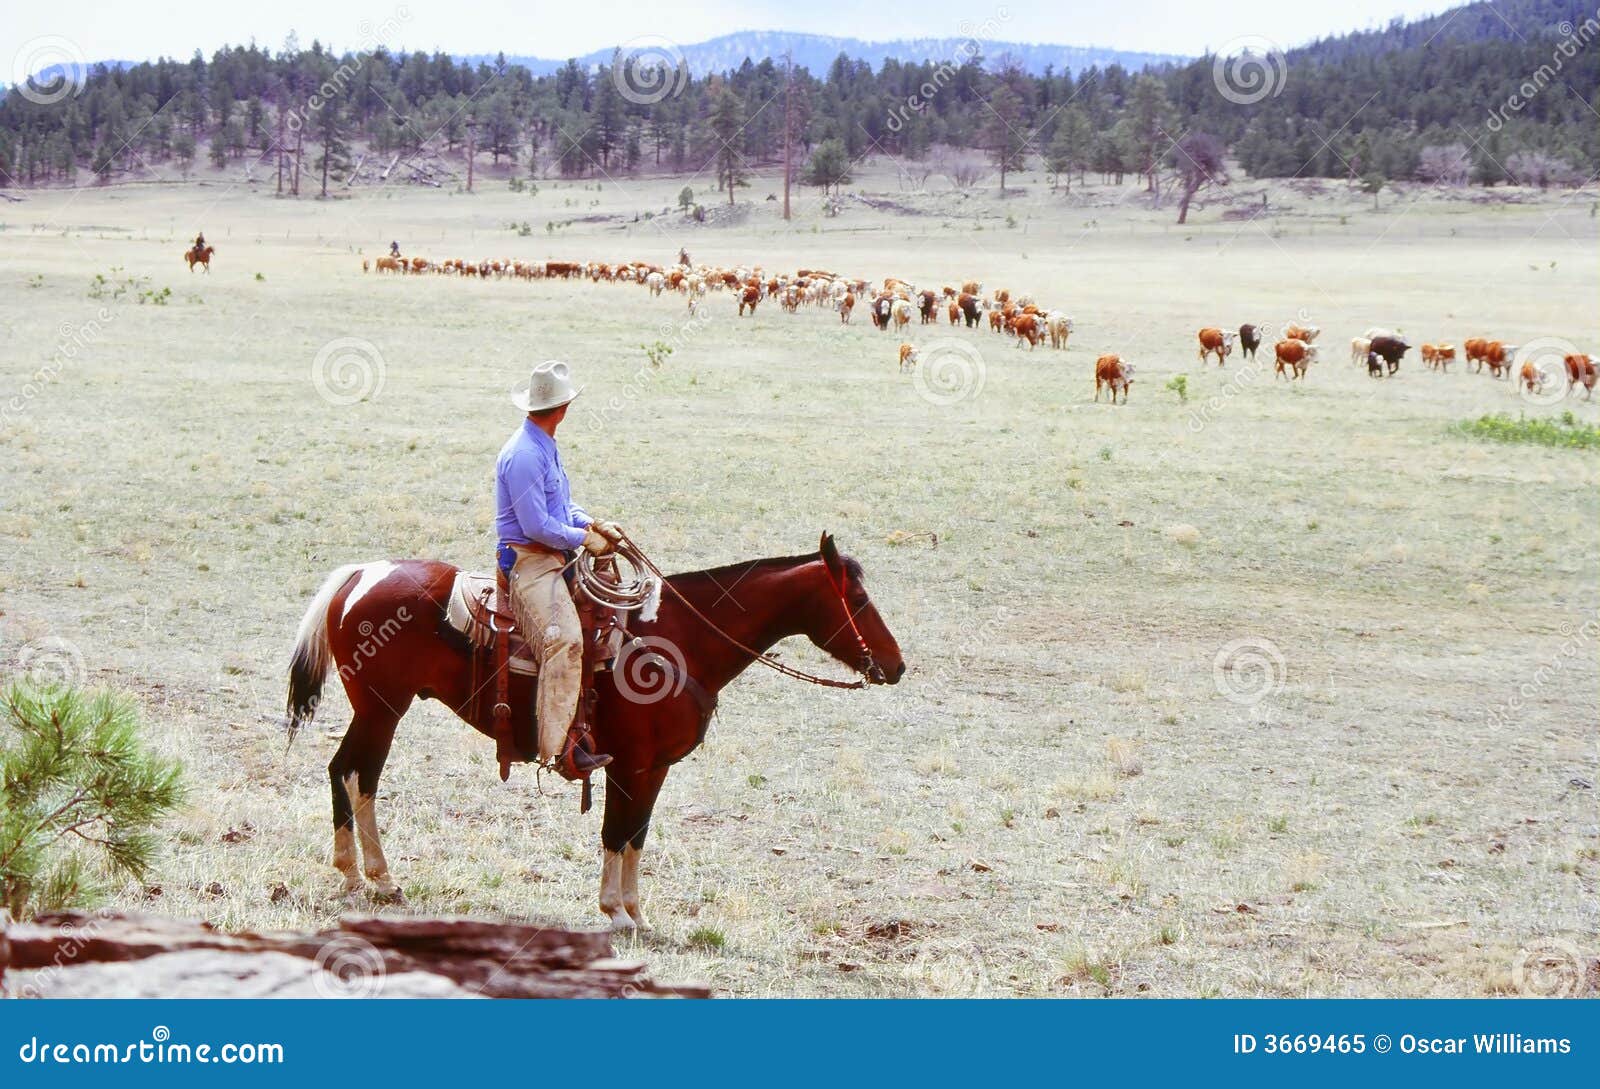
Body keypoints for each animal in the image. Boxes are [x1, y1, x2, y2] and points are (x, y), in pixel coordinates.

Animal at [285, 533, 904, 930]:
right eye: (858, 598)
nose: (896, 666)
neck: (679, 641)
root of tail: (361, 575)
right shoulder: (628, 764)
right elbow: (615, 832)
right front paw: (614, 912)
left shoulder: (654, 767)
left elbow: (636, 836)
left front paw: (637, 913)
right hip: (381, 710)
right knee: (357, 776)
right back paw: (371, 877)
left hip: (379, 711)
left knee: (347, 772)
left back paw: (364, 877)